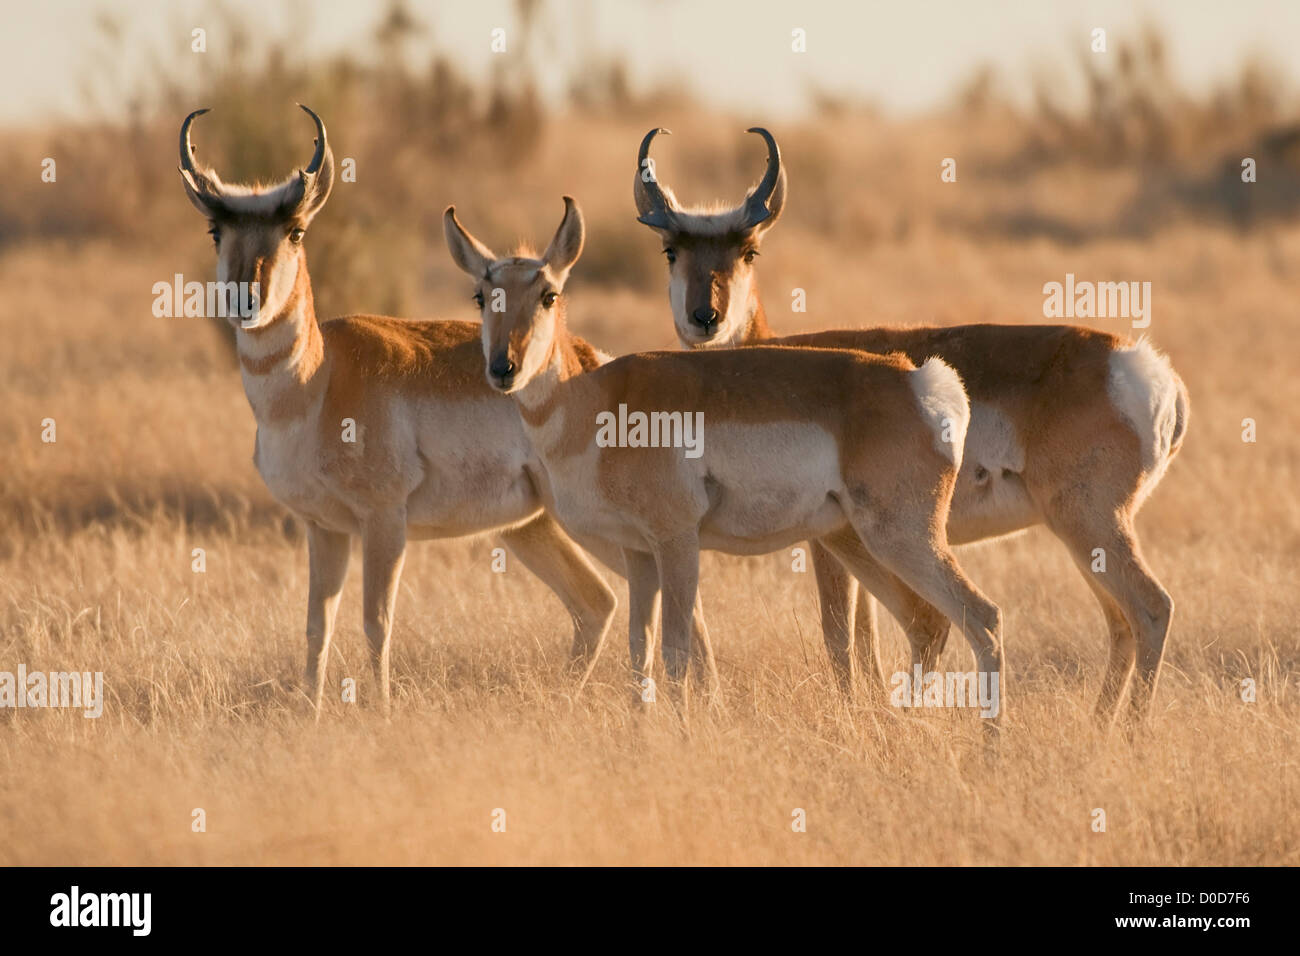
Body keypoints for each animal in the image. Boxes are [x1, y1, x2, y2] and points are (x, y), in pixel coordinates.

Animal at [176, 104, 671, 716]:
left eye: (296, 229)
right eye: (216, 229)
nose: (246, 300)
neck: (317, 381)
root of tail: (587, 359)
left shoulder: (384, 522)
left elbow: (376, 622)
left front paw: (382, 712)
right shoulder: (324, 528)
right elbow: (317, 626)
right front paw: (310, 713)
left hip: (585, 521)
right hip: (530, 527)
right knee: (597, 602)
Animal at [444, 196, 1007, 722]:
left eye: (549, 294)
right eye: (481, 295)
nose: (503, 368)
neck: (597, 401)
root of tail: (917, 378)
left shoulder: (677, 543)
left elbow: (676, 652)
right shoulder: (639, 554)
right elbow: (639, 651)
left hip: (901, 539)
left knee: (982, 617)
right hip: (856, 542)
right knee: (928, 620)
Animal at [634, 127, 1190, 726]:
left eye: (749, 249)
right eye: (671, 250)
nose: (704, 319)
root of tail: (1137, 362)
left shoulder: (827, 544)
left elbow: (841, 635)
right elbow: (865, 636)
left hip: (1088, 523)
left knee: (1150, 609)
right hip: (1081, 536)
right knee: (1121, 621)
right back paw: (1098, 728)